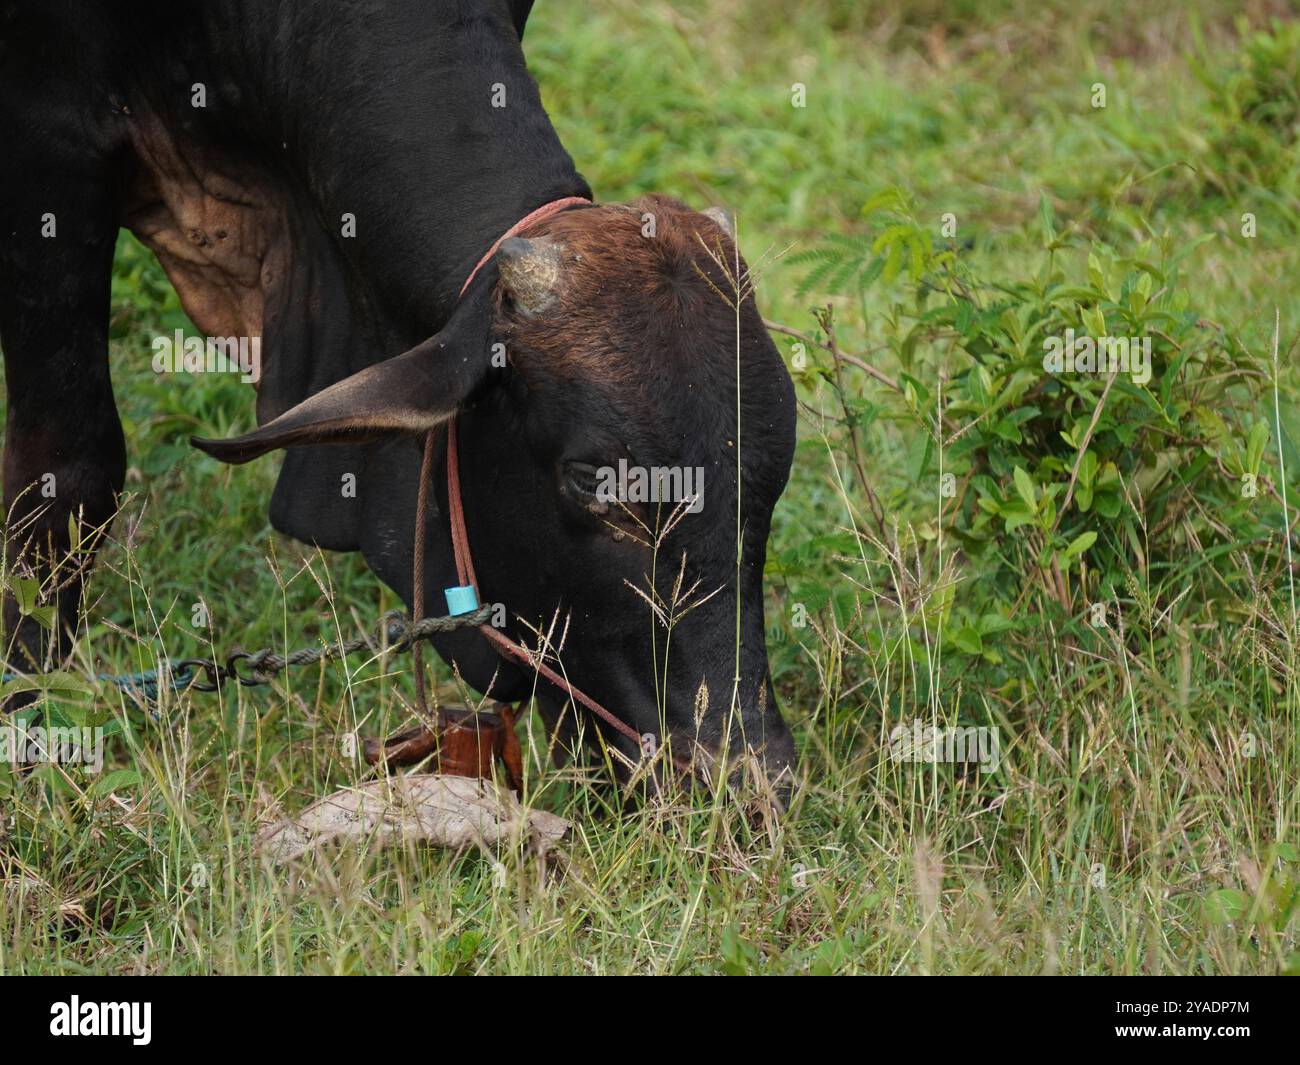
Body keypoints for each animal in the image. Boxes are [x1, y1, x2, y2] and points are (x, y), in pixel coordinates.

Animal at [0, 0, 797, 795]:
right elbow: (69, 467)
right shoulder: (48, 142)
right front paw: (24, 697)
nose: (748, 780)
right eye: (589, 480)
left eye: (775, 471)